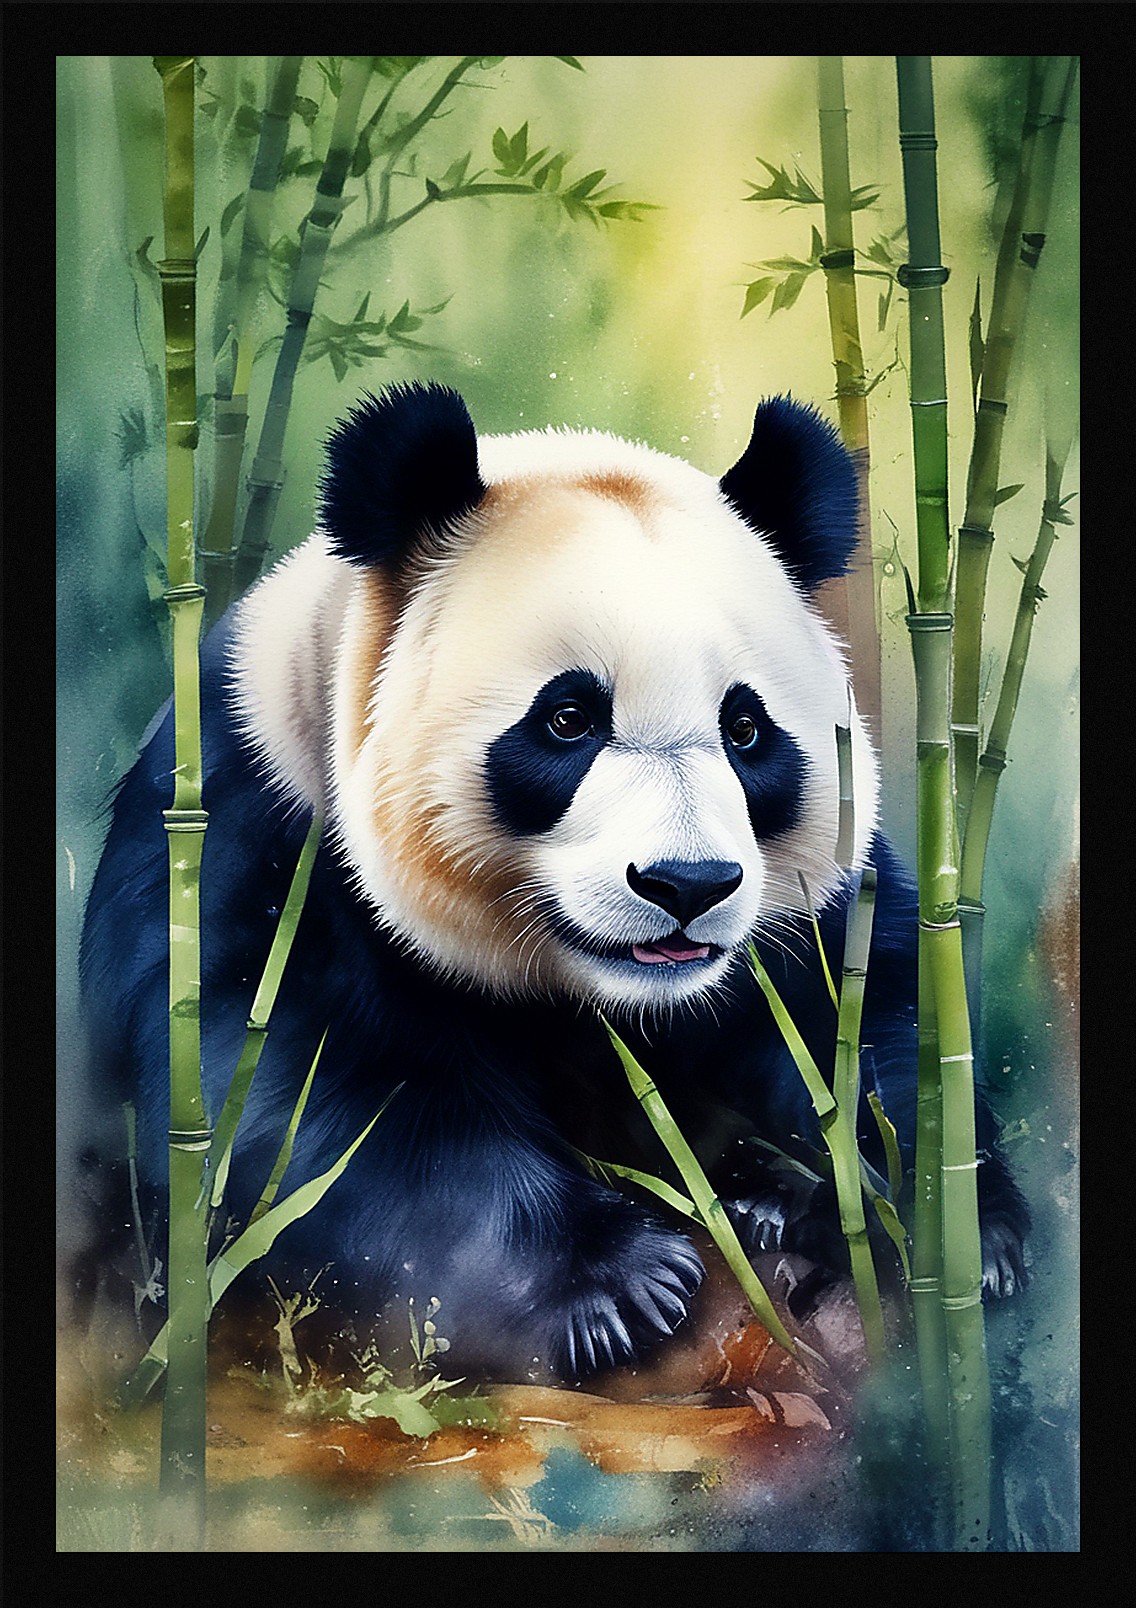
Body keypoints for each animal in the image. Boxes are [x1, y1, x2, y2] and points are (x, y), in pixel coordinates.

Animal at [79, 381, 1029, 1385]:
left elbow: (864, 1013)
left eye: (745, 730)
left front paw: (944, 1223)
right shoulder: (261, 834)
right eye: (568, 719)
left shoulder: (810, 905)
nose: (688, 884)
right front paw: (619, 1282)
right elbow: (301, 1095)